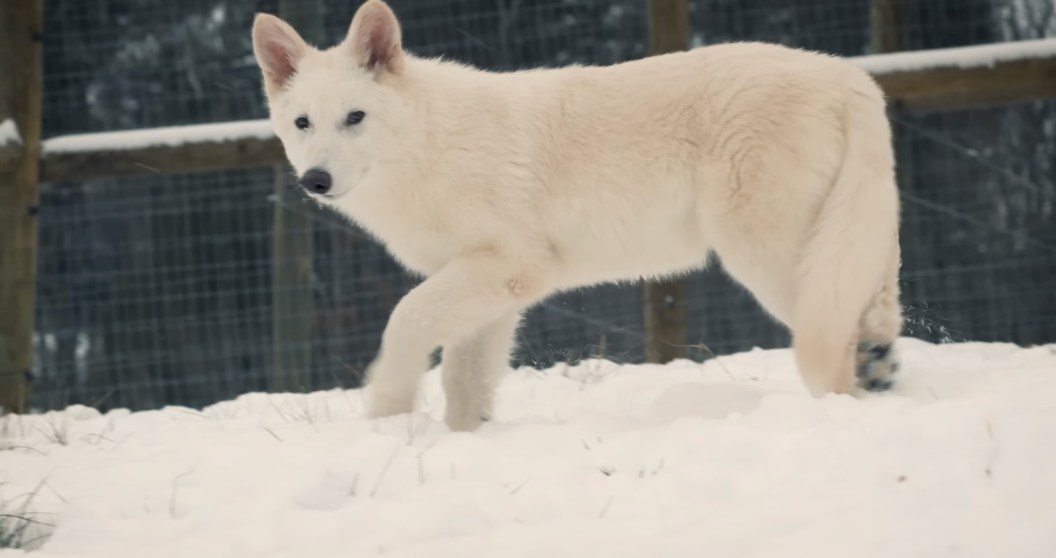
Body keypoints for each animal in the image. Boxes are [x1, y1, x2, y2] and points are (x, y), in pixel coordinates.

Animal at [251, 0, 903, 431]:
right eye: (303, 123)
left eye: (355, 117)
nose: (315, 181)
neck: (427, 146)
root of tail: (848, 76)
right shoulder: (493, 293)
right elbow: (464, 380)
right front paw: (463, 441)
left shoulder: (508, 269)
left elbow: (405, 321)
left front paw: (386, 415)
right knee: (876, 312)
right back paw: (881, 372)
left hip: (767, 259)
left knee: (834, 341)